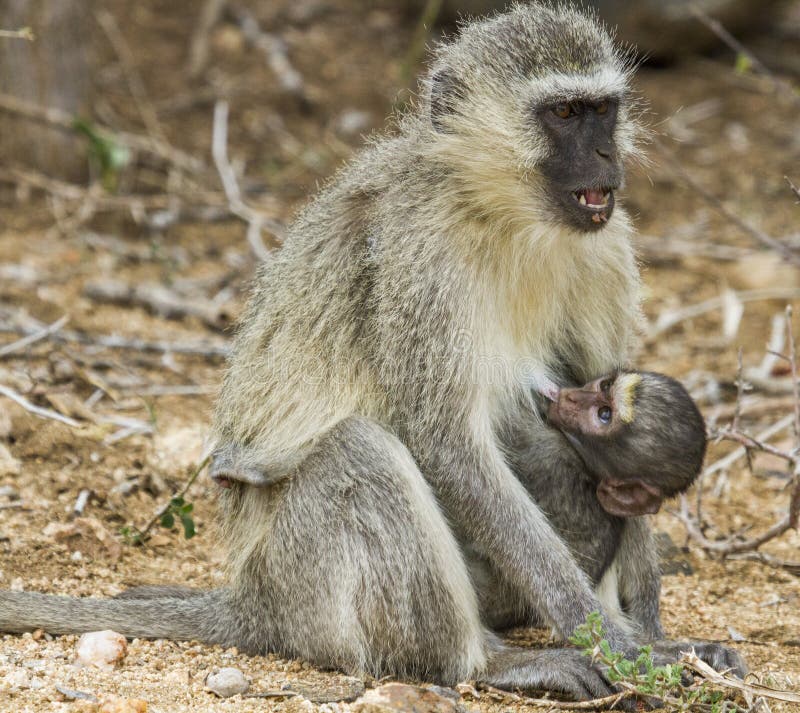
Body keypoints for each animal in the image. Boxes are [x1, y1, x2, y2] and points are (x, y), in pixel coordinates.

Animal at [0, 3, 746, 703]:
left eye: (603, 111)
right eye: (563, 114)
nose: (606, 159)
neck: (503, 218)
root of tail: (256, 603)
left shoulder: (606, 245)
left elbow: (613, 425)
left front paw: (657, 637)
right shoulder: (422, 256)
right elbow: (449, 444)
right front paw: (617, 645)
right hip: (302, 583)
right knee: (362, 451)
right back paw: (486, 662)